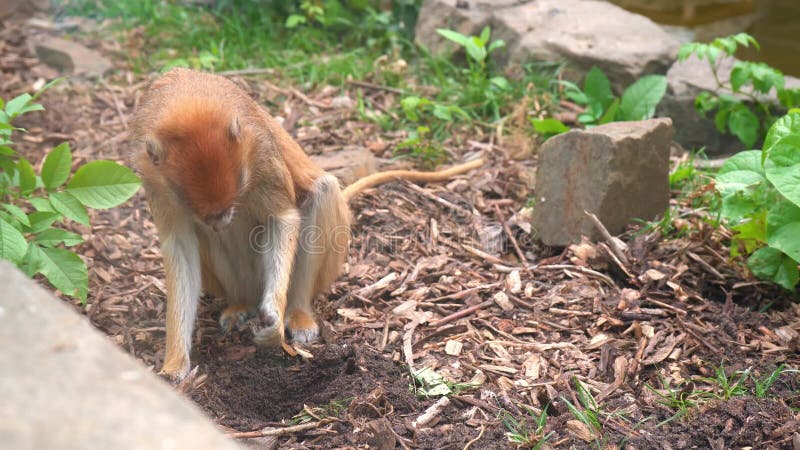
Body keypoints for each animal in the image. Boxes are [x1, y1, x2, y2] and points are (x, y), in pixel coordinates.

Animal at [130, 68, 483, 380]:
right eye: (190, 200)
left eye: (241, 181)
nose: (222, 218)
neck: (187, 96)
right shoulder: (153, 177)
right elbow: (180, 246)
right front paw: (174, 366)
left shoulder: (259, 152)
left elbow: (283, 218)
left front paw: (273, 322)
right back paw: (240, 304)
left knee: (322, 192)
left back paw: (296, 314)